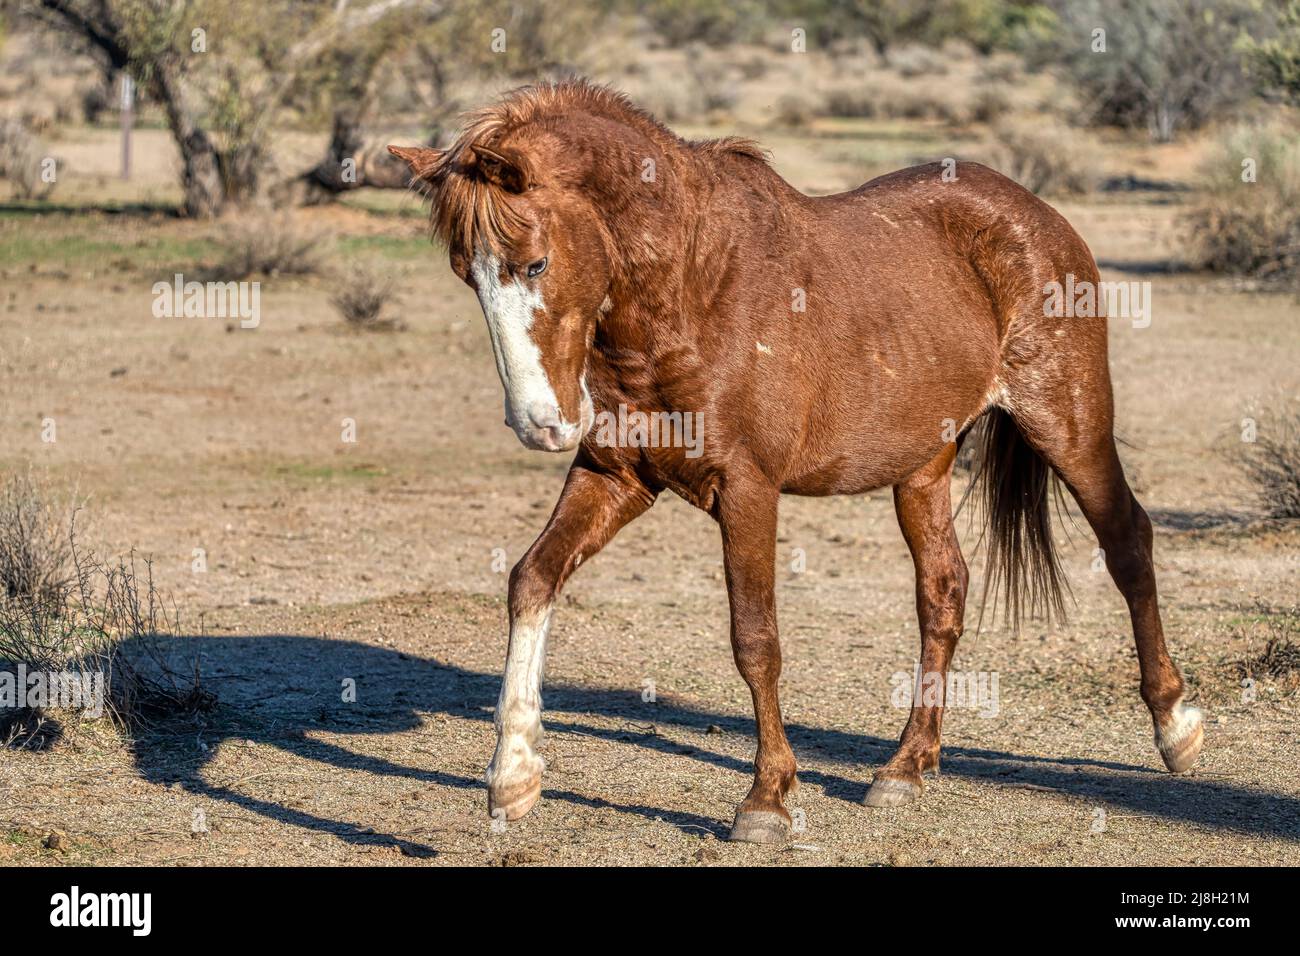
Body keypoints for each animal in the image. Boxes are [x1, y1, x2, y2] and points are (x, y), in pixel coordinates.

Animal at [388, 79, 1203, 844]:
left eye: (534, 264)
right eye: (467, 272)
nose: (540, 424)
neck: (693, 287)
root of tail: (1034, 212)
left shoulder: (748, 490)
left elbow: (755, 640)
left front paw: (767, 799)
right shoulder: (615, 479)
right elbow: (532, 581)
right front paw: (513, 774)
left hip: (1068, 427)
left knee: (1128, 543)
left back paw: (1175, 728)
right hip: (924, 466)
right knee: (943, 593)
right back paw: (906, 767)